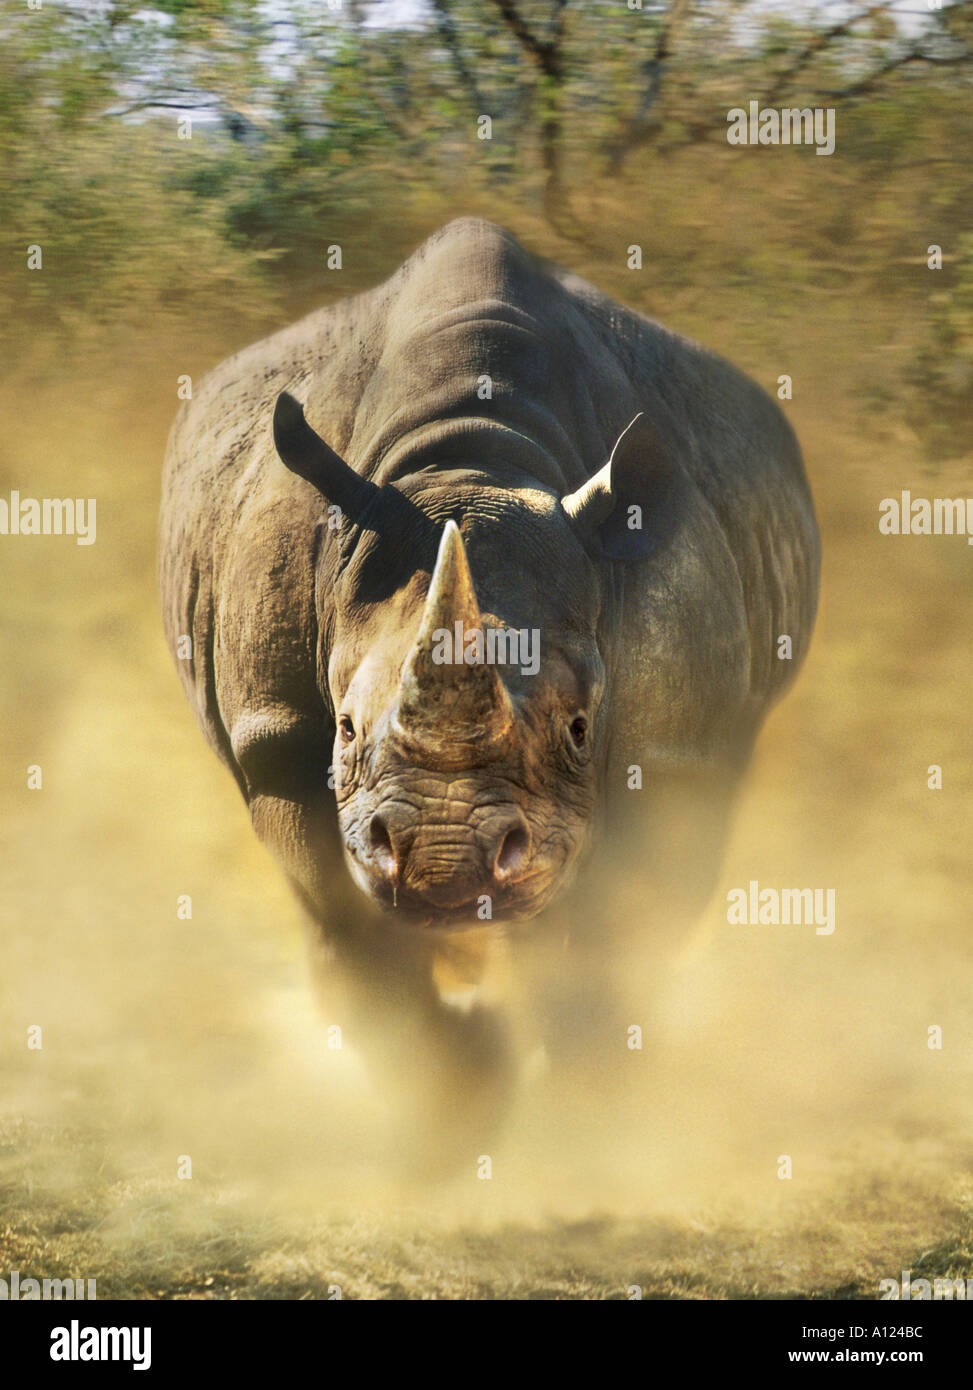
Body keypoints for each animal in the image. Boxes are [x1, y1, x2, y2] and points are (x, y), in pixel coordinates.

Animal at [159, 218, 819, 1150]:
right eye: (346, 728)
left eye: (580, 727)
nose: (448, 865)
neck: (478, 466)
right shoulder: (276, 737)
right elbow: (349, 917)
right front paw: (457, 1098)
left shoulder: (678, 749)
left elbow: (620, 926)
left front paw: (589, 1114)